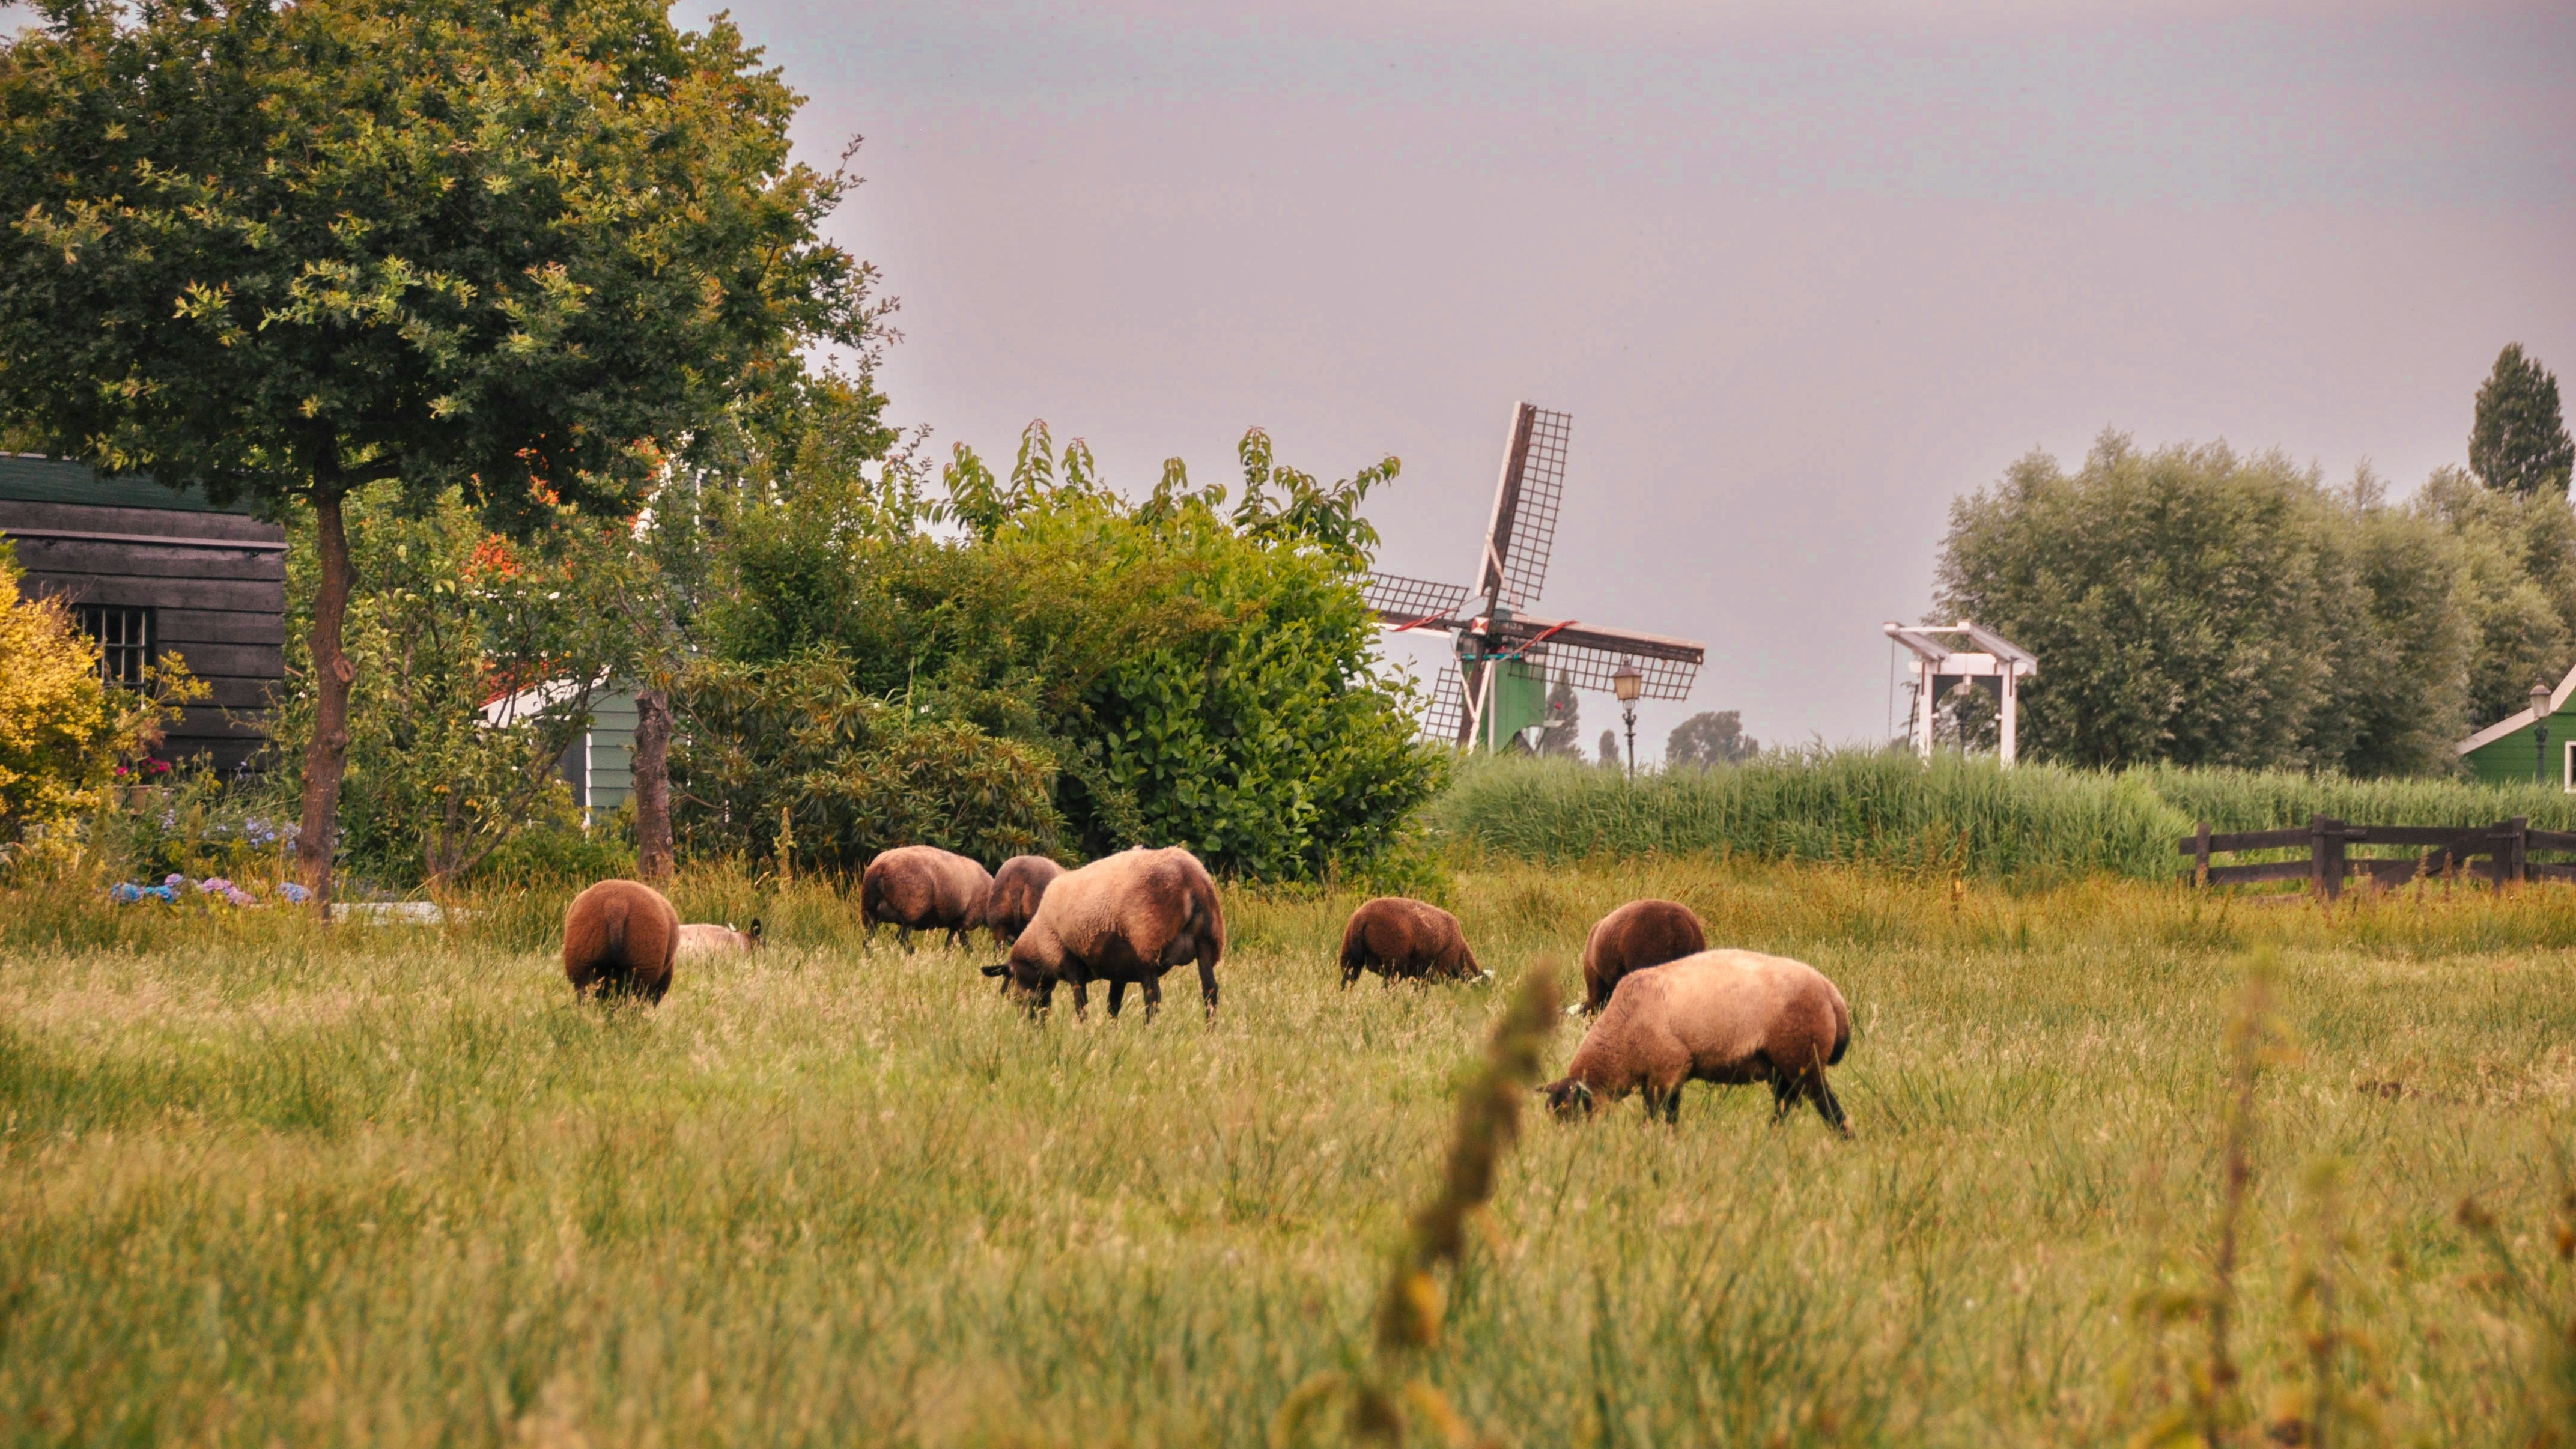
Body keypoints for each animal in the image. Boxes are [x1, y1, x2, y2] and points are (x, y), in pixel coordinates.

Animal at [861, 845, 993, 950]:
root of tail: (881, 868)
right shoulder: (966, 920)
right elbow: (966, 945)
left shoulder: (955, 923)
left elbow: (949, 945)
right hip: (910, 911)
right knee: (901, 938)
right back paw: (913, 954)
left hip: (869, 911)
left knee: (867, 941)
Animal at [1338, 896, 1486, 986]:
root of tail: (1362, 917)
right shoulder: (1442, 968)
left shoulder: (1421, 974)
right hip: (1393, 965)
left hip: (1350, 958)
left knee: (1347, 982)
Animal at [1540, 949, 1852, 1134]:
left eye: (1570, 1112)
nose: (1566, 1147)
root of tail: (1831, 993)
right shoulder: (1666, 1076)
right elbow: (1670, 1115)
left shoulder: (1668, 1070)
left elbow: (1658, 1114)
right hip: (1781, 1069)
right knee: (1787, 1106)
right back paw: (1772, 1139)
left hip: (1804, 1059)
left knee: (1829, 1107)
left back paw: (1845, 1140)